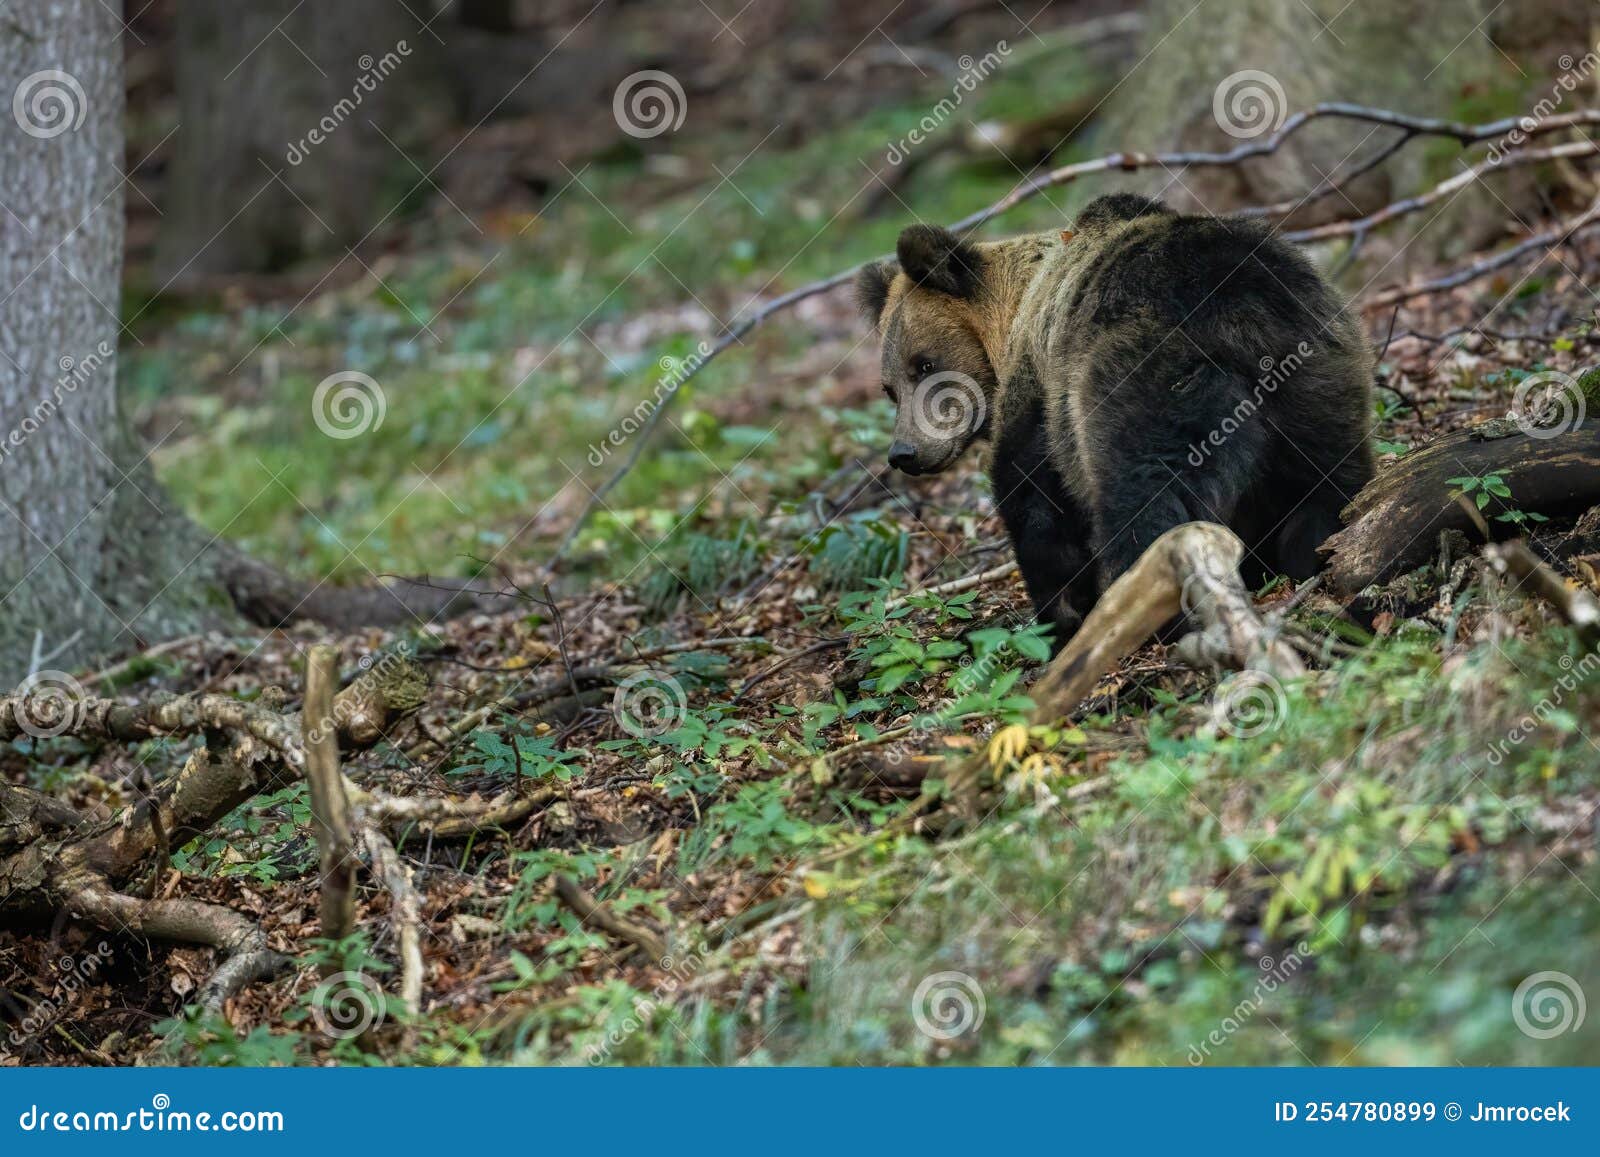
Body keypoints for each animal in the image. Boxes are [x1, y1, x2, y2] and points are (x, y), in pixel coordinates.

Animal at [855, 192, 1374, 642]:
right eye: (889, 388)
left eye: (924, 364)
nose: (904, 452)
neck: (1013, 317)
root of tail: (1235, 301)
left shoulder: (1043, 399)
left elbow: (1036, 505)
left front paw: (1060, 618)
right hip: (1317, 373)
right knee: (1328, 478)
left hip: (1142, 378)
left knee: (1142, 495)